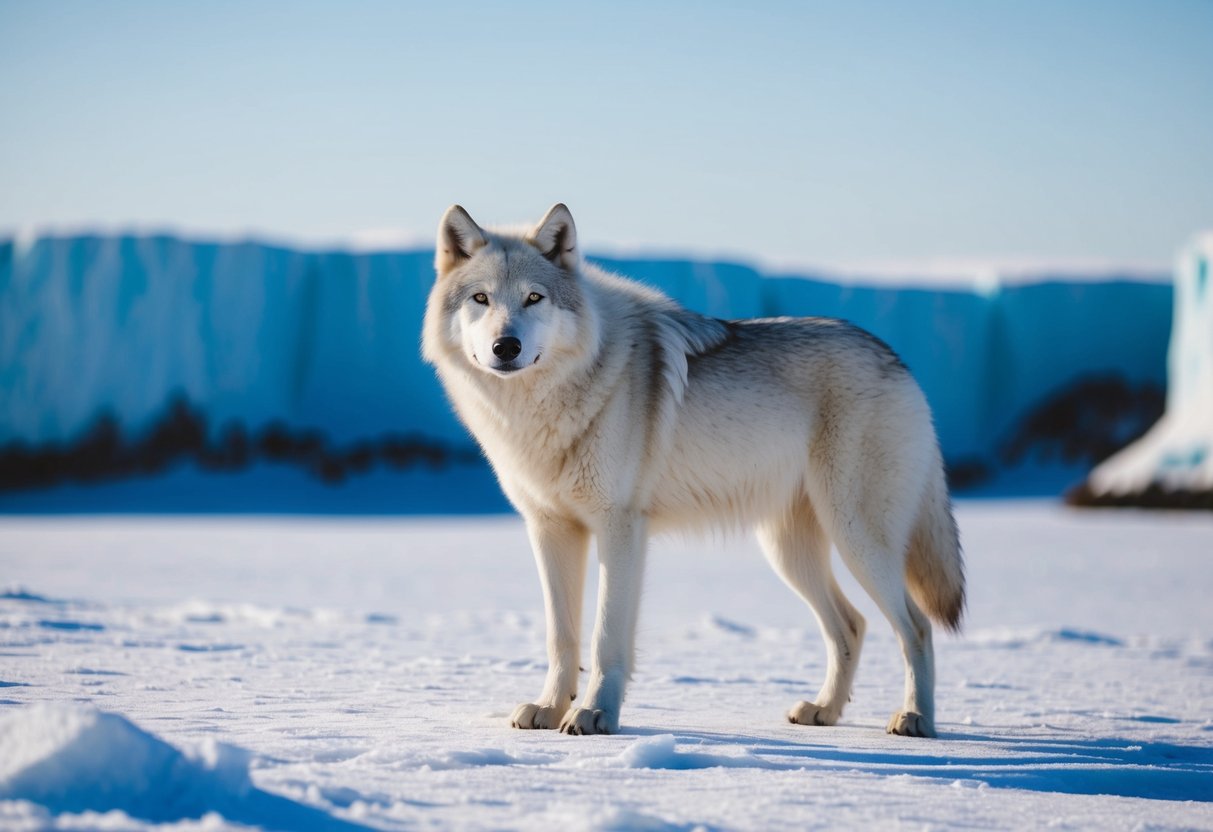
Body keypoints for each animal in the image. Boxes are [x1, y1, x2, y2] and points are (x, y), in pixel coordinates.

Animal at [422, 204, 965, 738]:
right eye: (481, 298)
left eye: (534, 298)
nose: (506, 346)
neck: (542, 405)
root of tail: (897, 360)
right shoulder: (550, 530)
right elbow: (561, 637)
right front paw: (550, 709)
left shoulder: (620, 529)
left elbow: (604, 637)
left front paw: (595, 714)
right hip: (790, 553)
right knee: (851, 624)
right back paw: (824, 711)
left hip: (857, 538)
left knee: (916, 626)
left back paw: (916, 719)